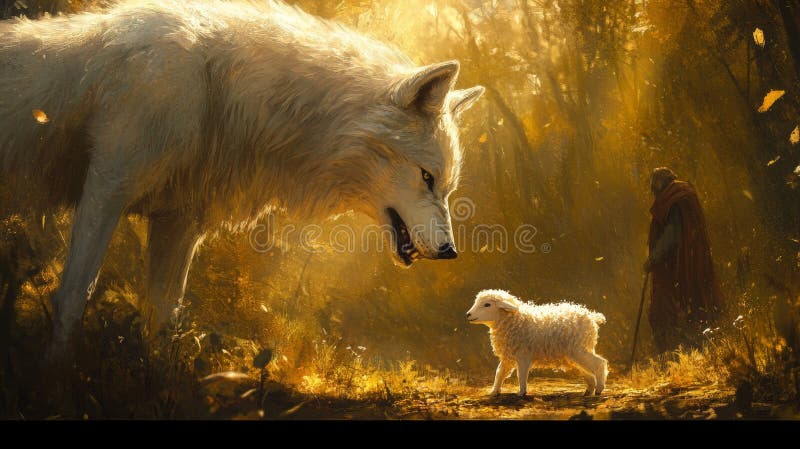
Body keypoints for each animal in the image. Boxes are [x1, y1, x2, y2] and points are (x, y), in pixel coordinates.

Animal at [0, 0, 484, 360]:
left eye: (446, 187)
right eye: (426, 177)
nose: (450, 252)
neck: (220, 88)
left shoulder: (179, 222)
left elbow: (162, 316)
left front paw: (159, 383)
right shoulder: (106, 189)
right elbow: (72, 298)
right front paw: (55, 379)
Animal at [466, 289, 608, 397]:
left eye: (487, 304)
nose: (468, 314)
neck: (515, 321)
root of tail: (592, 317)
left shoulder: (523, 356)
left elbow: (521, 375)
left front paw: (521, 393)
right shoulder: (508, 357)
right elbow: (499, 373)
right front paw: (494, 392)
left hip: (579, 350)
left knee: (599, 363)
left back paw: (599, 389)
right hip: (574, 355)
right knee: (588, 372)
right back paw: (588, 391)